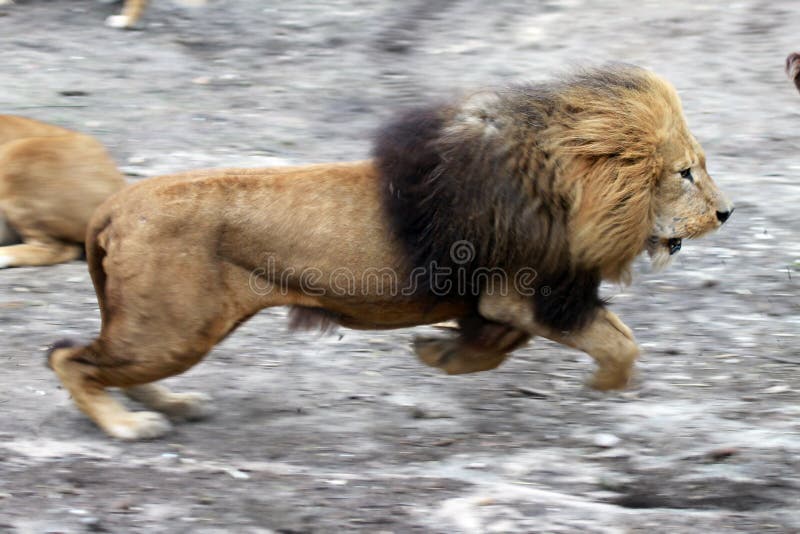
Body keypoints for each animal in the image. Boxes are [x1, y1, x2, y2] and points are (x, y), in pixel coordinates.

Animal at [47, 65, 732, 440]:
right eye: (686, 173)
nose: (726, 213)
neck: (565, 183)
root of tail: (116, 204)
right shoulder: (525, 295)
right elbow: (620, 343)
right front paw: (606, 391)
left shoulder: (506, 302)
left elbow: (501, 347)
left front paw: (440, 354)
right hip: (173, 326)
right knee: (71, 358)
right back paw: (128, 424)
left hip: (167, 329)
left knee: (103, 362)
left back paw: (170, 404)